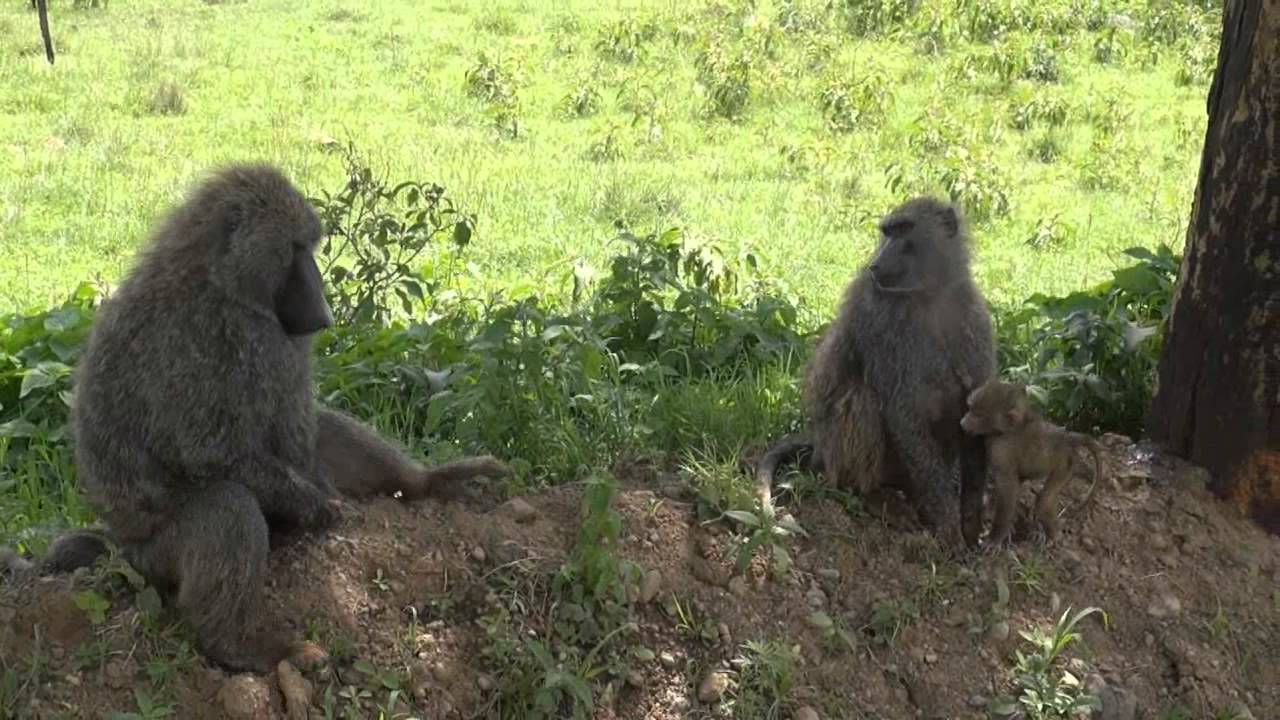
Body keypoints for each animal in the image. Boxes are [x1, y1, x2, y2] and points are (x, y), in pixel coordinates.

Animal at [31, 163, 510, 674]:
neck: (212, 274)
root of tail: (120, 542)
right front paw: (319, 507)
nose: (321, 308)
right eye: (296, 247)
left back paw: (428, 482)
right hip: (154, 557)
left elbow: (299, 432)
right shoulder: (250, 336)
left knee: (322, 431)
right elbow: (211, 451)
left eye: (309, 245)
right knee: (228, 506)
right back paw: (242, 645)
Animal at [755, 196, 997, 548]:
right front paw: (947, 522)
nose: (876, 264)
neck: (930, 294)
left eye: (905, 229)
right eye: (887, 232)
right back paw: (869, 494)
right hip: (836, 457)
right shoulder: (878, 317)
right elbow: (901, 408)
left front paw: (971, 520)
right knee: (862, 399)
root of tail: (818, 447)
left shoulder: (975, 317)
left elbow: (976, 409)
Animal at [959, 378, 1104, 546]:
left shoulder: (1001, 450)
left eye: (979, 415)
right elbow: (1016, 484)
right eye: (971, 408)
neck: (1011, 428)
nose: (962, 423)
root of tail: (1064, 439)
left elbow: (1008, 488)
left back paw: (1053, 535)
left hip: (1064, 466)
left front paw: (995, 537)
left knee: (1044, 501)